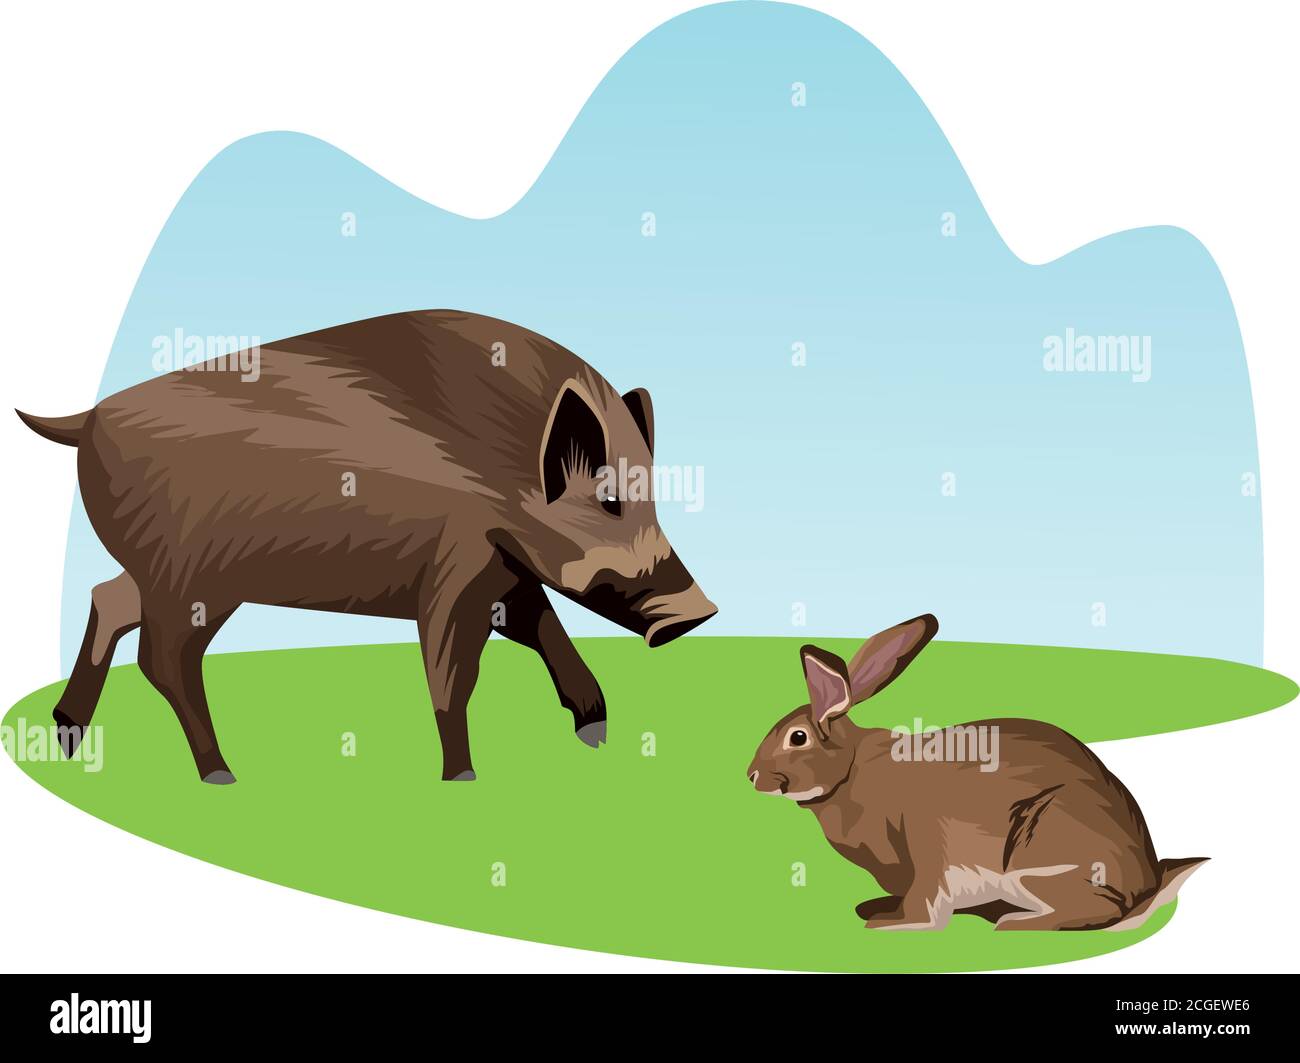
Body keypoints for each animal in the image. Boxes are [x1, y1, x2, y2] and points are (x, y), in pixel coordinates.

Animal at [19, 310, 716, 783]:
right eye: (608, 499)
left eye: (653, 496)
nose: (696, 614)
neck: (504, 485)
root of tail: (85, 419)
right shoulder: (453, 577)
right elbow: (453, 673)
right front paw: (462, 778)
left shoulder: (504, 576)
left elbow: (542, 629)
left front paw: (594, 731)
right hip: (191, 581)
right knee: (163, 658)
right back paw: (223, 774)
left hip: (167, 574)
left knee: (108, 599)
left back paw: (69, 736)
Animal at [746, 614, 1207, 930]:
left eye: (798, 738)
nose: (751, 775)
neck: (850, 771)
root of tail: (1145, 885)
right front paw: (874, 909)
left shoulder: (928, 845)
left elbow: (925, 900)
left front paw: (892, 923)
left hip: (1039, 853)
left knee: (1093, 909)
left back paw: (1015, 923)